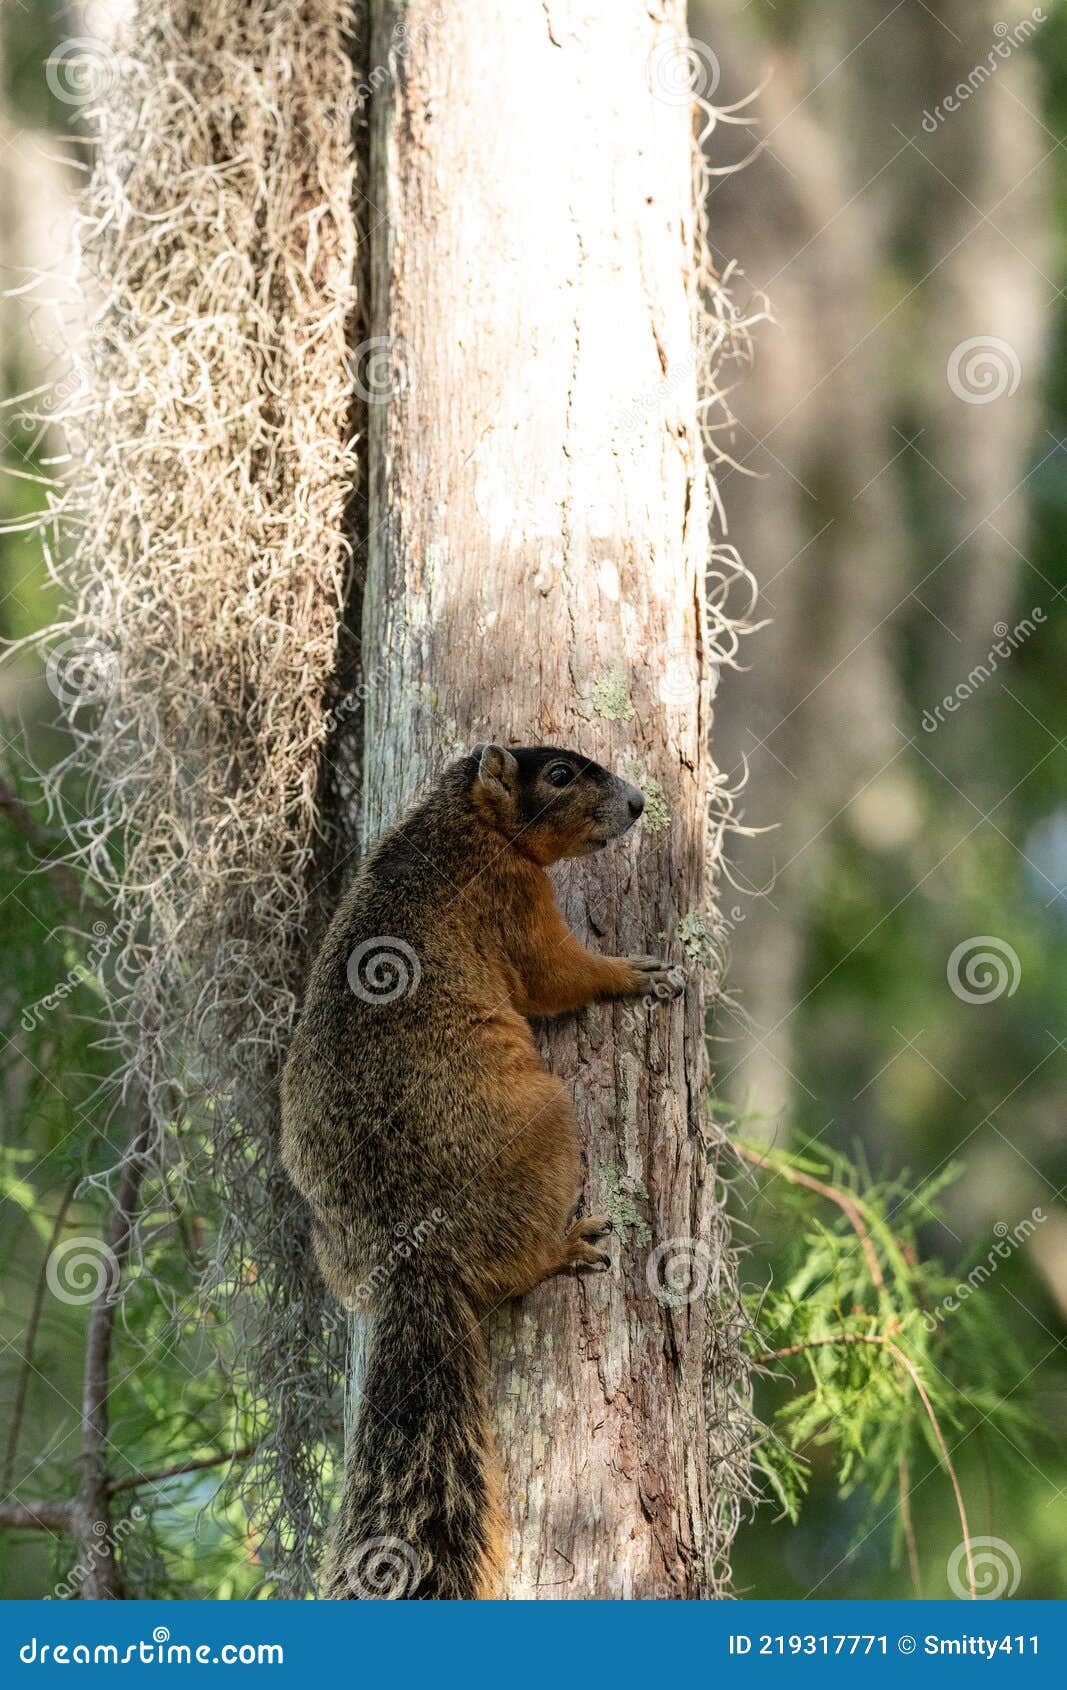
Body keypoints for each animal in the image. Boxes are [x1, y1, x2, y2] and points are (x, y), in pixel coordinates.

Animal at [280, 743, 684, 1599]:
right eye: (558, 775)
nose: (637, 804)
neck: (459, 820)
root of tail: (409, 1259)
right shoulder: (513, 902)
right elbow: (557, 975)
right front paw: (634, 974)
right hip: (547, 1123)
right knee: (519, 1261)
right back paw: (562, 1248)